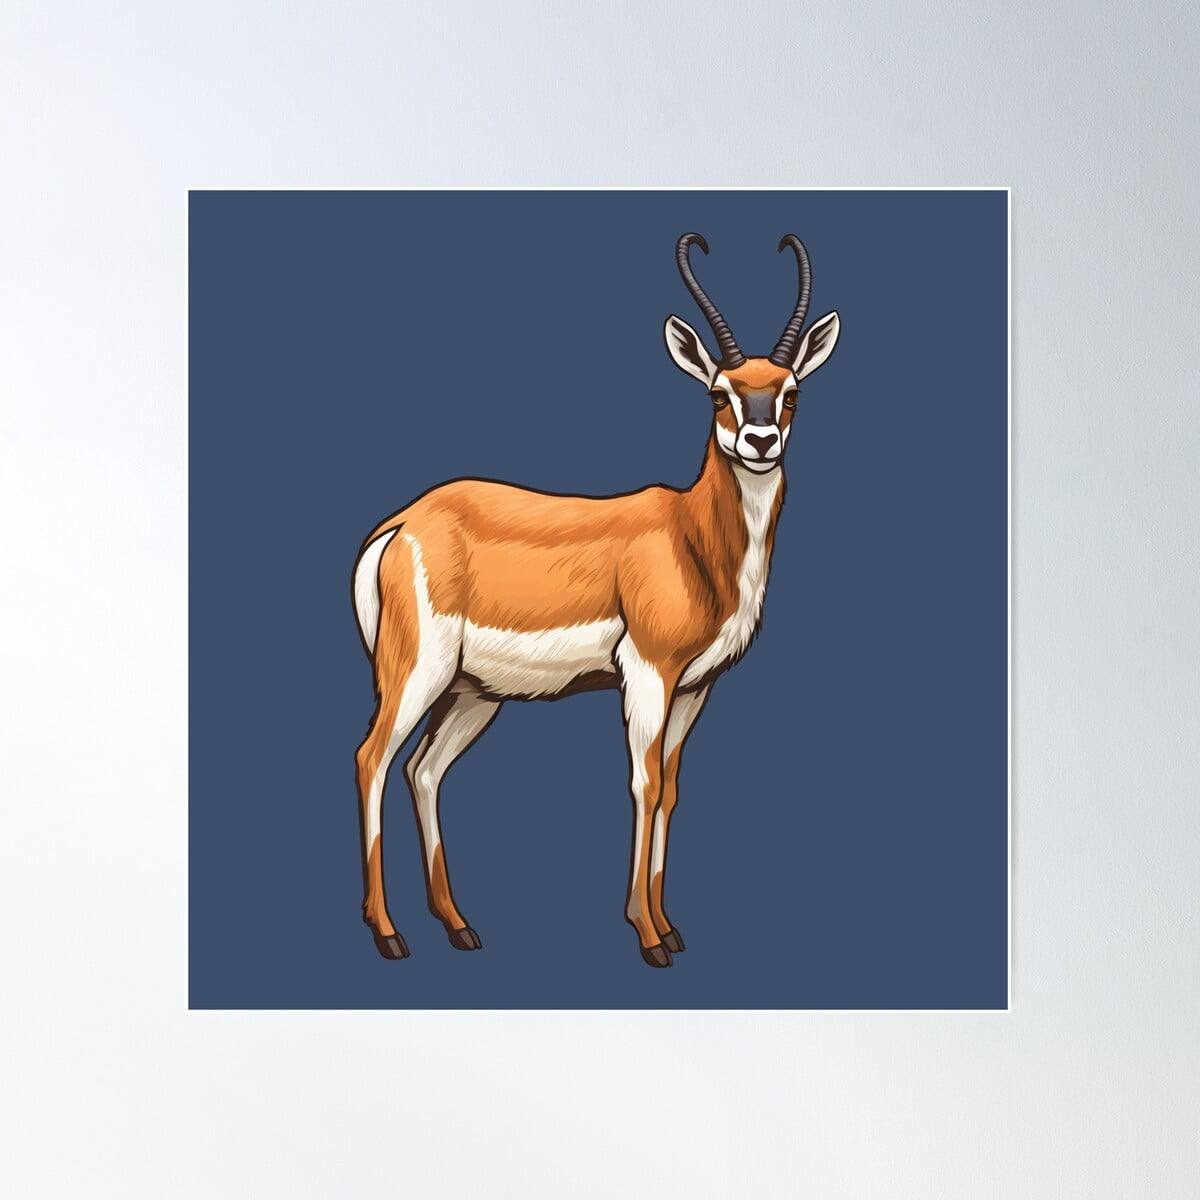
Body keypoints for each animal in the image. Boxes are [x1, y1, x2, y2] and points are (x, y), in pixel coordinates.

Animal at [352, 232, 840, 967]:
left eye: (791, 392)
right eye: (719, 394)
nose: (761, 442)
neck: (693, 538)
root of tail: (404, 523)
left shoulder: (695, 687)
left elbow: (671, 789)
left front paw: (670, 926)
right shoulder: (647, 674)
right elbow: (643, 784)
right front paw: (648, 937)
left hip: (473, 693)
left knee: (424, 770)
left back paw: (459, 926)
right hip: (417, 672)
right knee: (374, 760)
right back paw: (388, 934)